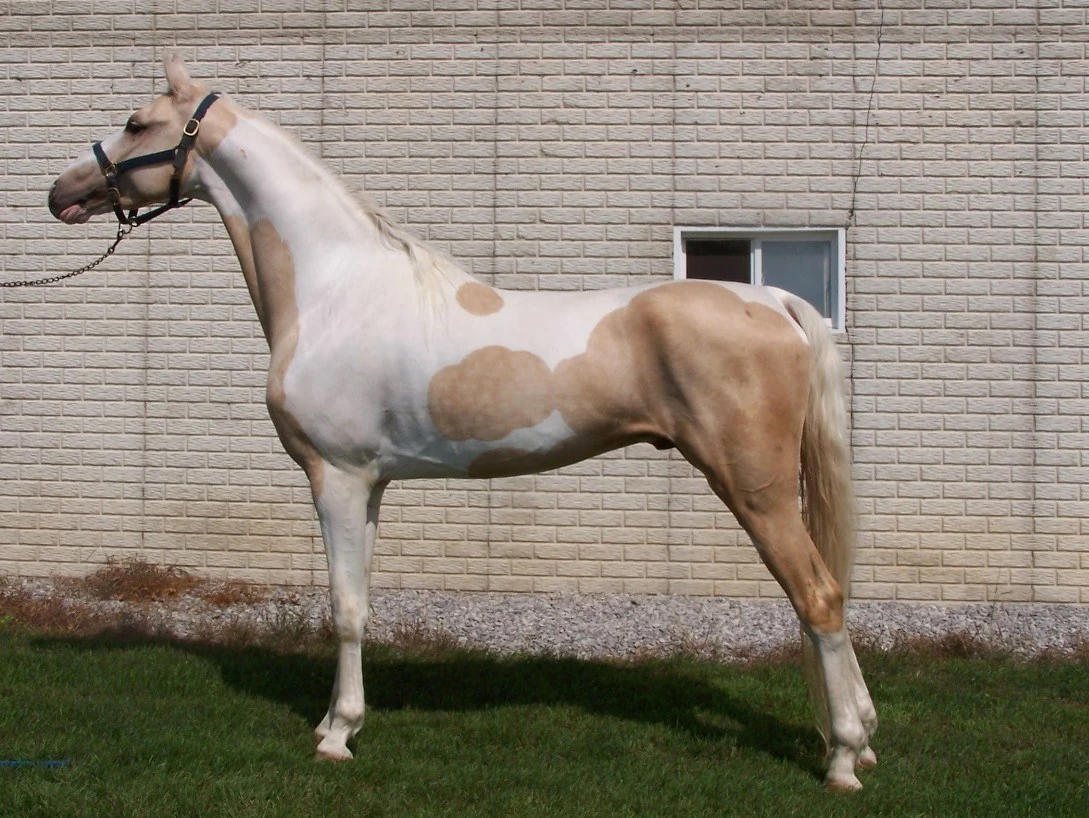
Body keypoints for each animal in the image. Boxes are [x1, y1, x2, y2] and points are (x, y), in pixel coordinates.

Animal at [47, 55, 877, 791]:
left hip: (754, 487)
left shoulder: (334, 477)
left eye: (136, 122)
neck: (335, 289)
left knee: (818, 597)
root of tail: (772, 301)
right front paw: (338, 721)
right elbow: (362, 598)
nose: (61, 191)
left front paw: (337, 735)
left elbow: (344, 608)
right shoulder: (370, 483)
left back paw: (839, 760)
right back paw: (863, 737)